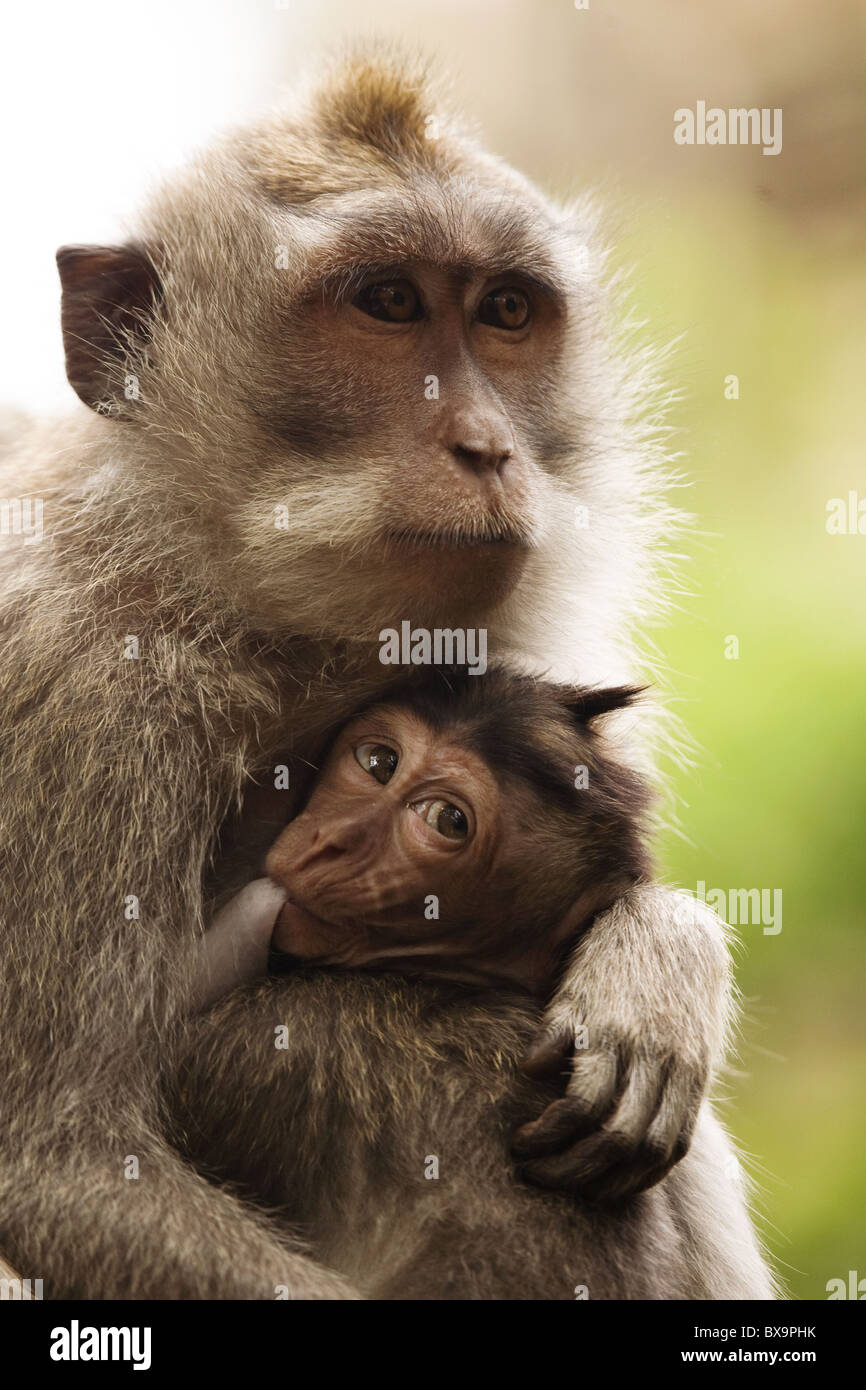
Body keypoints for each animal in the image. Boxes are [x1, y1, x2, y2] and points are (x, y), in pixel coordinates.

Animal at [0, 49, 774, 1298]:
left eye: (504, 311)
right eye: (388, 305)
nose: (486, 446)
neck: (227, 596)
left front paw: (657, 960)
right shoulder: (77, 701)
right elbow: (57, 1164)